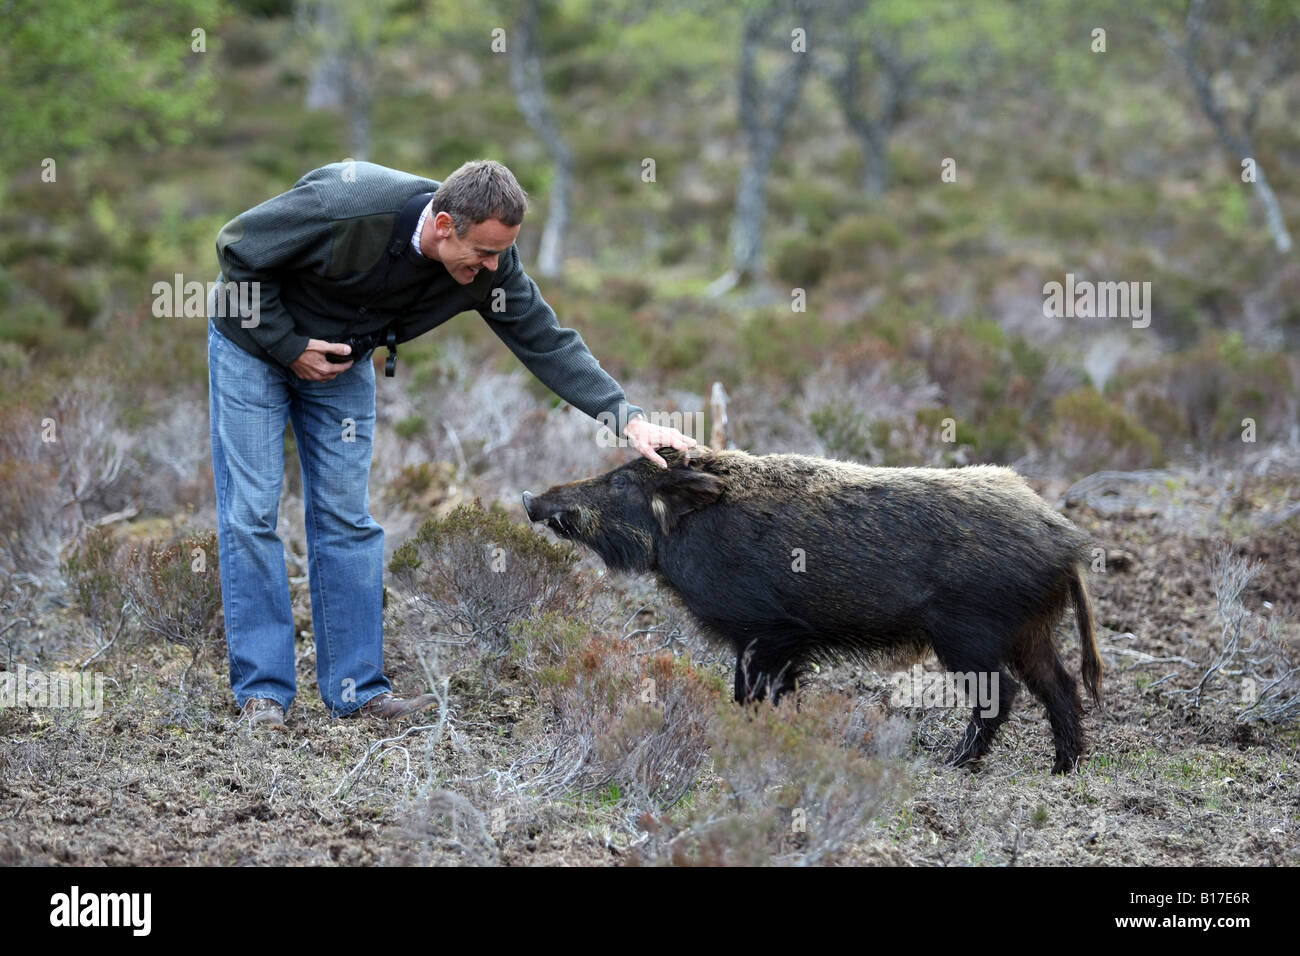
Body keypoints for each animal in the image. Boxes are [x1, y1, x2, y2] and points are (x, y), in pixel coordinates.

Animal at [522, 445, 1102, 773]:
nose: (531, 499)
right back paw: (1063, 768)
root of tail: (1067, 542)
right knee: (1059, 685)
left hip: (969, 635)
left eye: (622, 480)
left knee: (1004, 694)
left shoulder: (768, 631)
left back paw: (954, 765)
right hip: (1028, 631)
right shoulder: (774, 642)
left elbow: (750, 695)